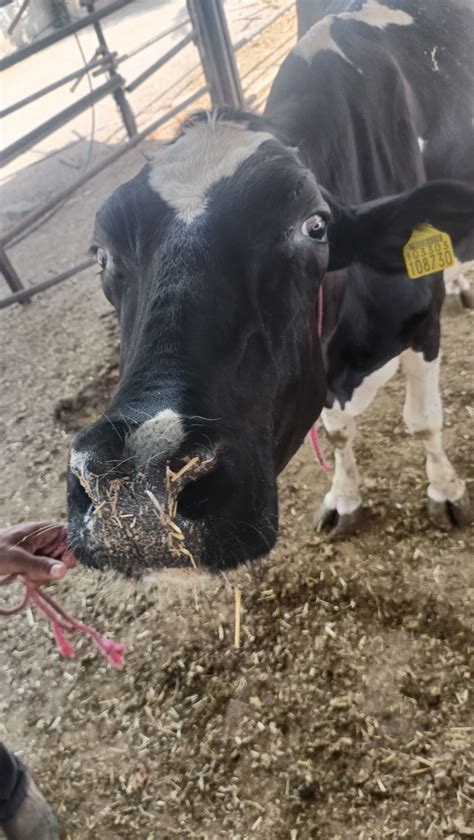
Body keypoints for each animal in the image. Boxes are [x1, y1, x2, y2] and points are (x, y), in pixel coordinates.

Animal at [67, 0, 474, 576]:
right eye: (100, 253)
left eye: (316, 226)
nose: (135, 489)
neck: (348, 358)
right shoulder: (317, 367)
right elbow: (339, 432)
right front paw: (344, 498)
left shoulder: (422, 323)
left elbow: (423, 421)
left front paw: (445, 492)